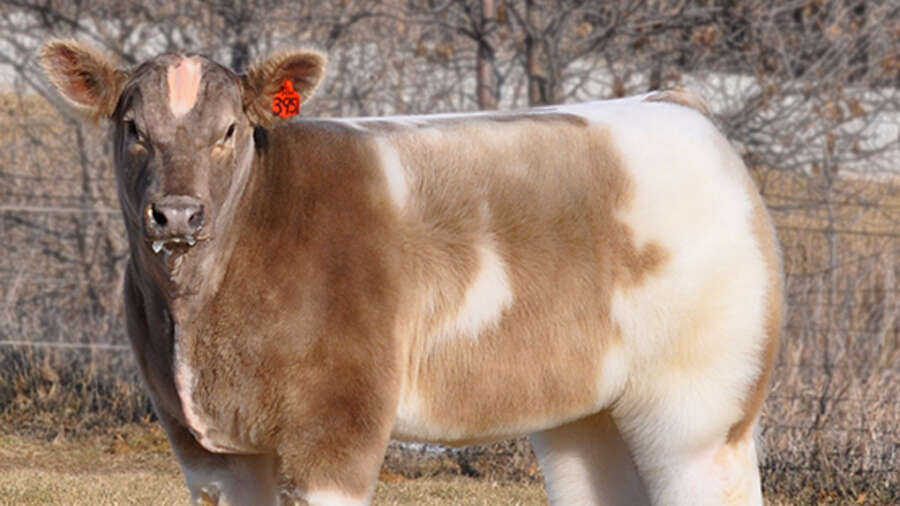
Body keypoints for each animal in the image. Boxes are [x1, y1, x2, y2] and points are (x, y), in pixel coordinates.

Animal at [40, 39, 782, 506]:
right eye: (133, 128)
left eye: (228, 131)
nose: (176, 213)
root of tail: (675, 104)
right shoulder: (205, 446)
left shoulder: (336, 427)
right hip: (592, 412)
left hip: (702, 409)